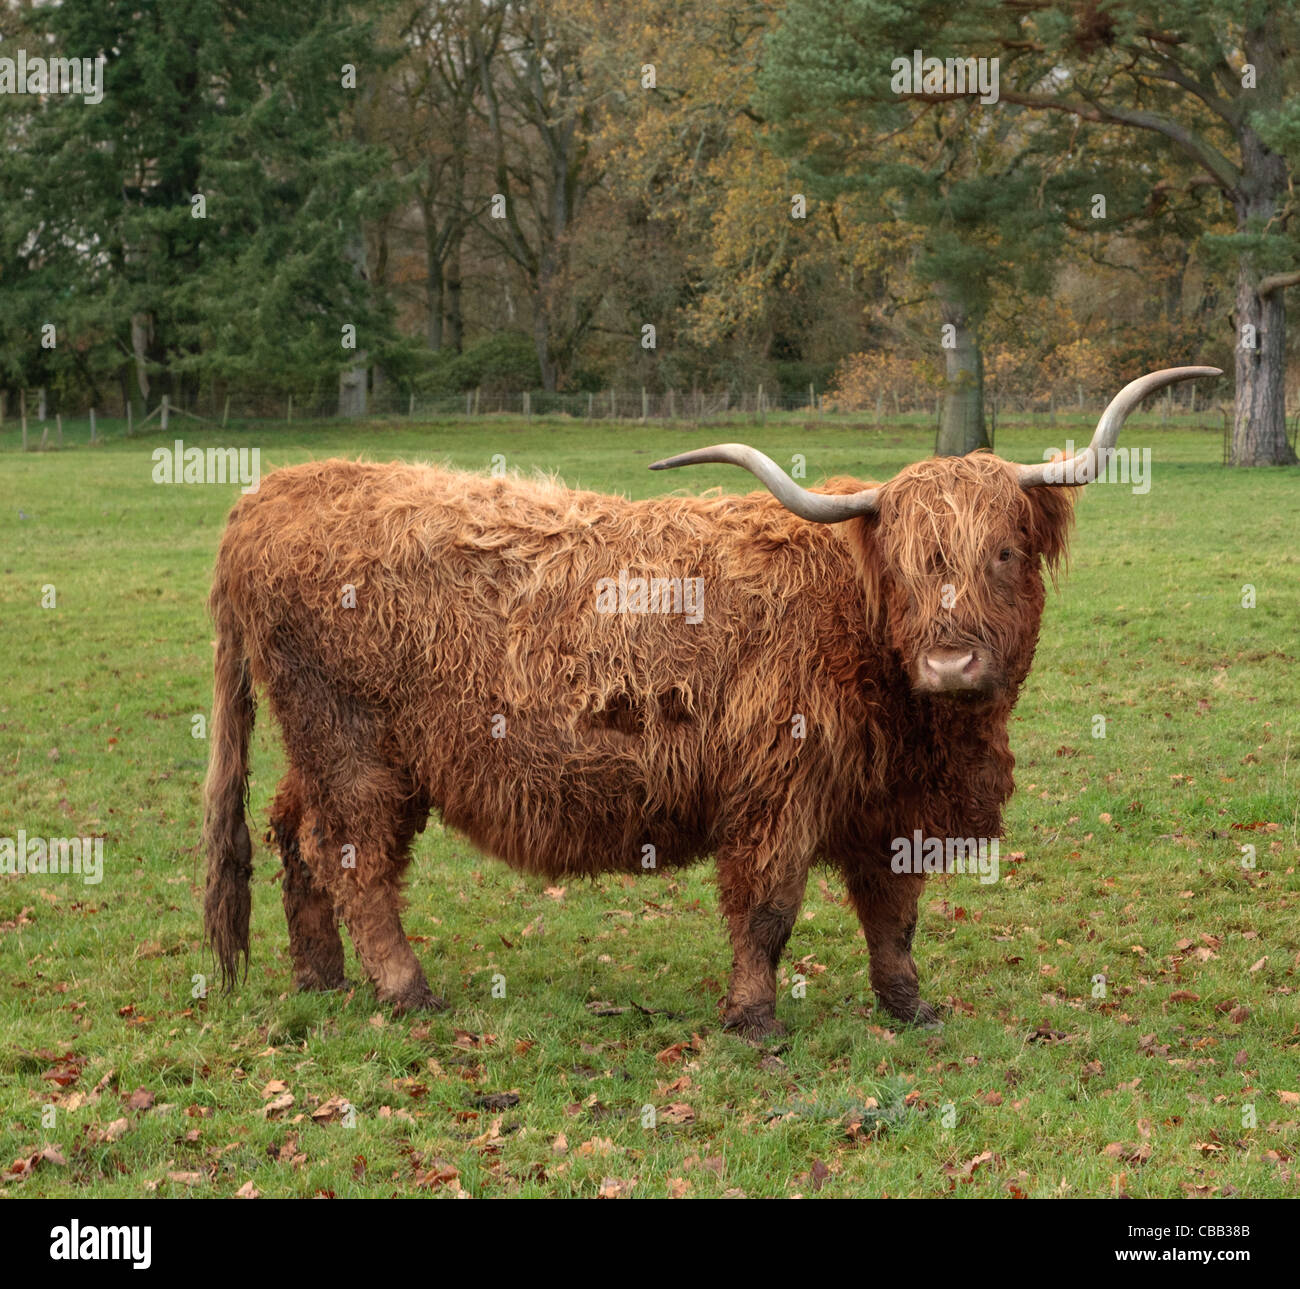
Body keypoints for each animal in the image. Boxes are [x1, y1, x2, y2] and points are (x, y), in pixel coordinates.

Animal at [203, 366, 1218, 1036]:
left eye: (1003, 551)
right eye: (906, 564)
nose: (952, 661)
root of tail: (276, 489)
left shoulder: (886, 802)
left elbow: (893, 910)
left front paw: (911, 1006)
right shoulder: (776, 786)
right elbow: (767, 905)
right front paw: (754, 1018)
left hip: (326, 745)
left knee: (296, 837)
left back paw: (322, 979)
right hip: (354, 745)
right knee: (355, 859)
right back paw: (404, 988)